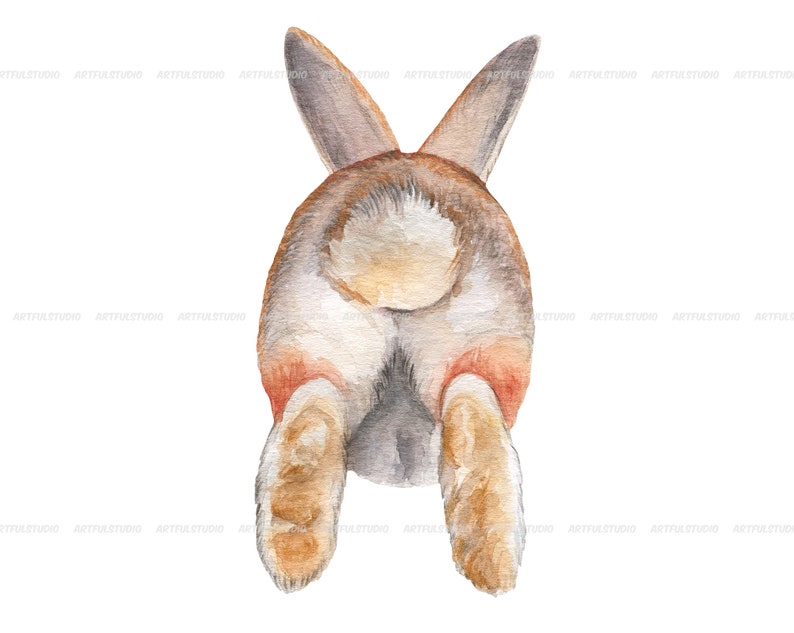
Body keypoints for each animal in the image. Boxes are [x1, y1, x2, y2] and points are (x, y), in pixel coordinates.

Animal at [256, 27, 540, 595]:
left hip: (320, 348)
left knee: (314, 411)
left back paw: (294, 554)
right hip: (483, 352)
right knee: (472, 404)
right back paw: (494, 566)